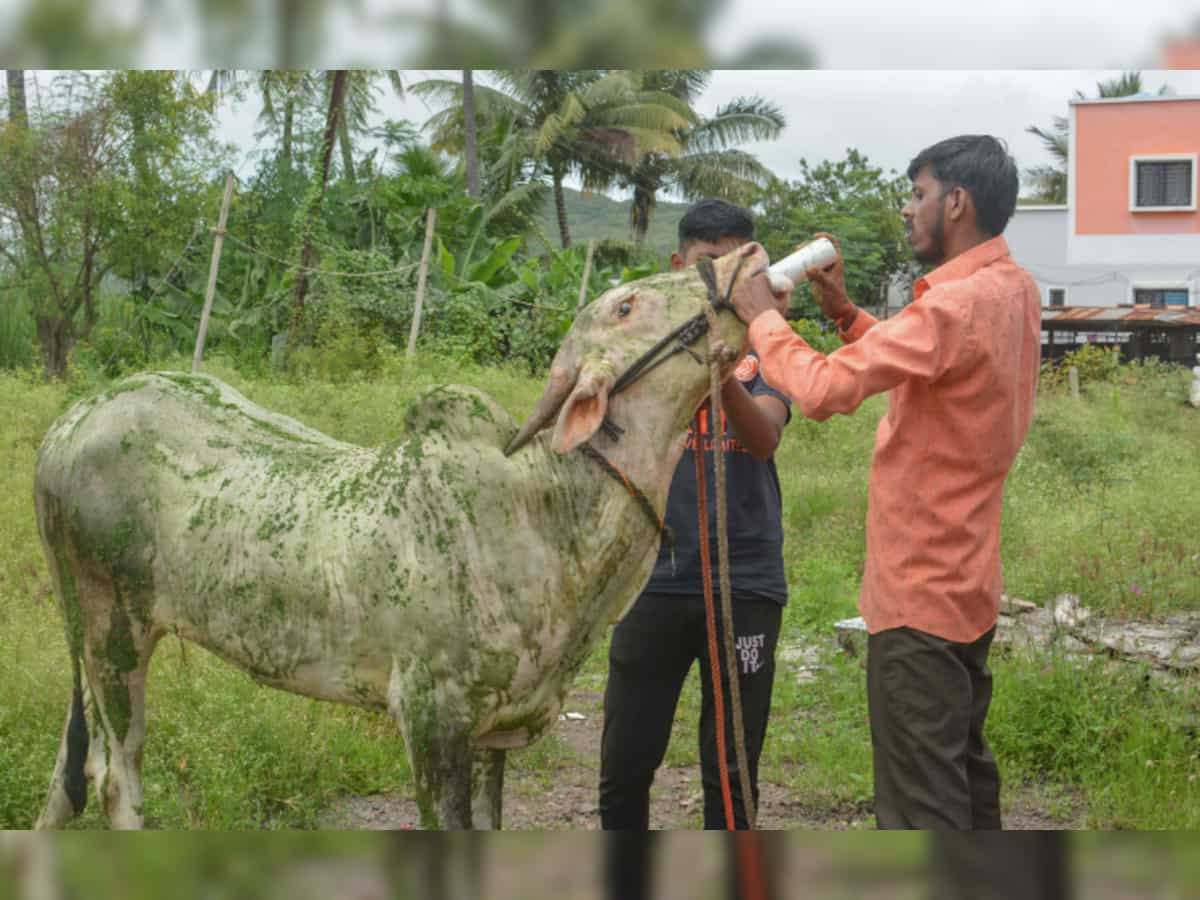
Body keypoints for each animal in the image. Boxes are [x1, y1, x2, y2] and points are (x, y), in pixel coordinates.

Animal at [31, 244, 765, 830]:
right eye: (626, 305)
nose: (747, 255)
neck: (548, 512)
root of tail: (68, 423)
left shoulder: (494, 734)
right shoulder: (431, 717)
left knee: (68, 776)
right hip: (108, 631)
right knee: (114, 778)